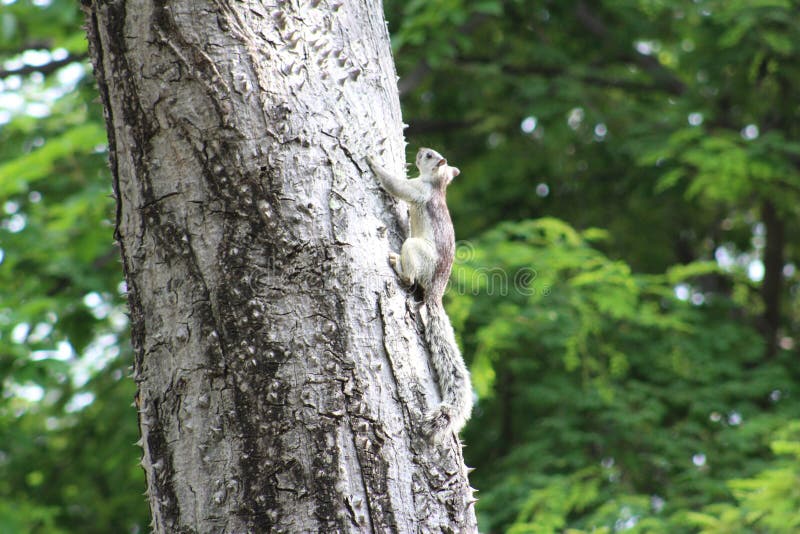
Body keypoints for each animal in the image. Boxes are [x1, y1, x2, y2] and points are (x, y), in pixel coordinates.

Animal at [367, 148, 472, 441]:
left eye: (428, 156)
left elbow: (396, 186)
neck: (437, 184)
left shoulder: (417, 190)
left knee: (410, 278)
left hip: (415, 249)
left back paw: (397, 264)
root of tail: (435, 293)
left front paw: (372, 161)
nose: (419, 151)